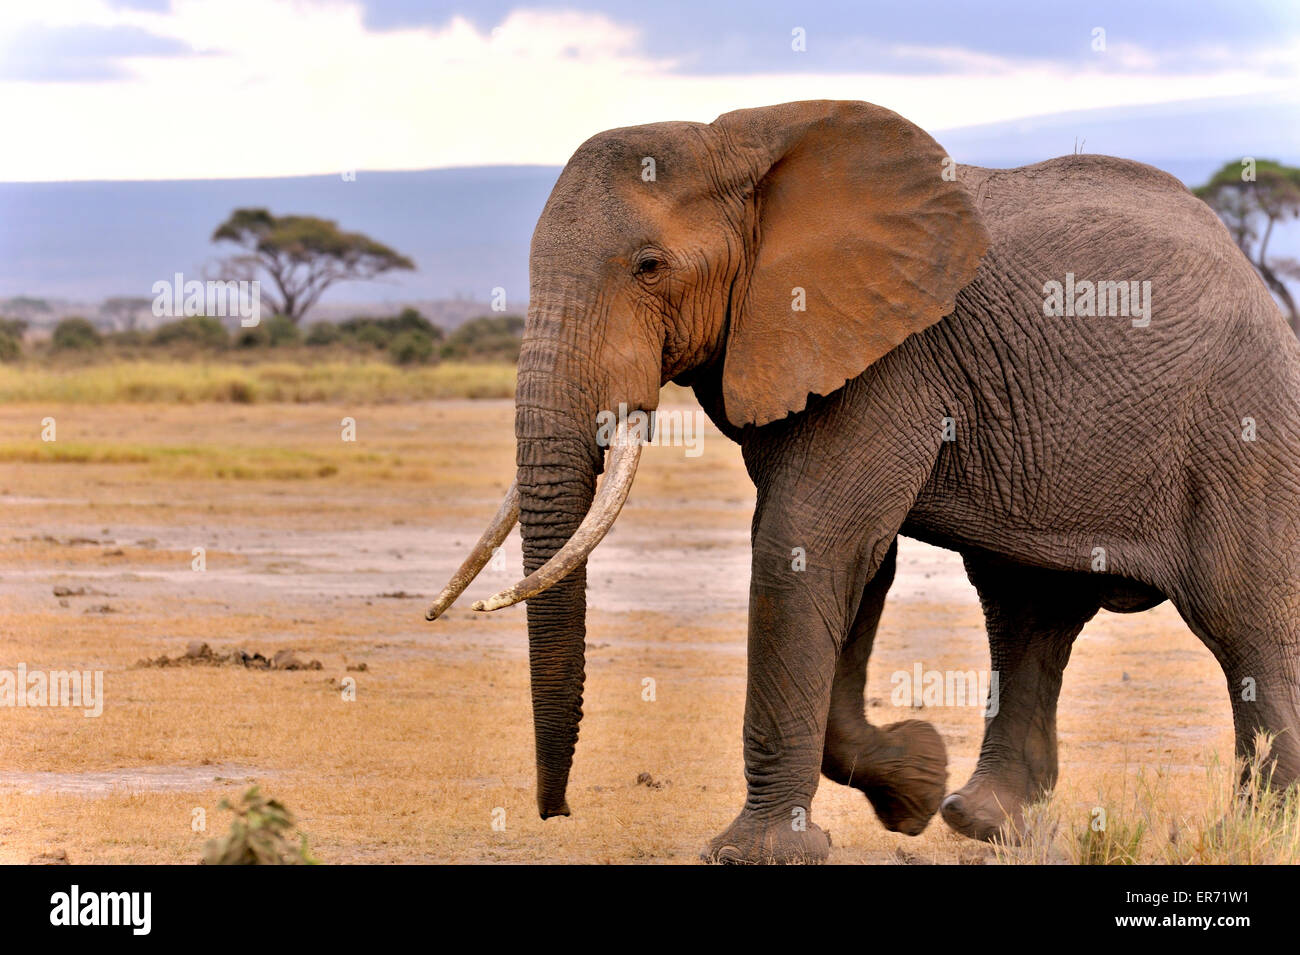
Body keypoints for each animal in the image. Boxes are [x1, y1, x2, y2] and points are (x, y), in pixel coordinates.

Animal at [428, 100, 1300, 863]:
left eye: (648, 267)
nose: (556, 812)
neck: (738, 142)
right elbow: (849, 560)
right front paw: (914, 784)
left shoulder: (889, 359)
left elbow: (806, 542)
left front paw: (759, 853)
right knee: (1028, 614)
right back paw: (985, 823)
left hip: (1241, 433)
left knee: (1244, 621)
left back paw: (1256, 833)